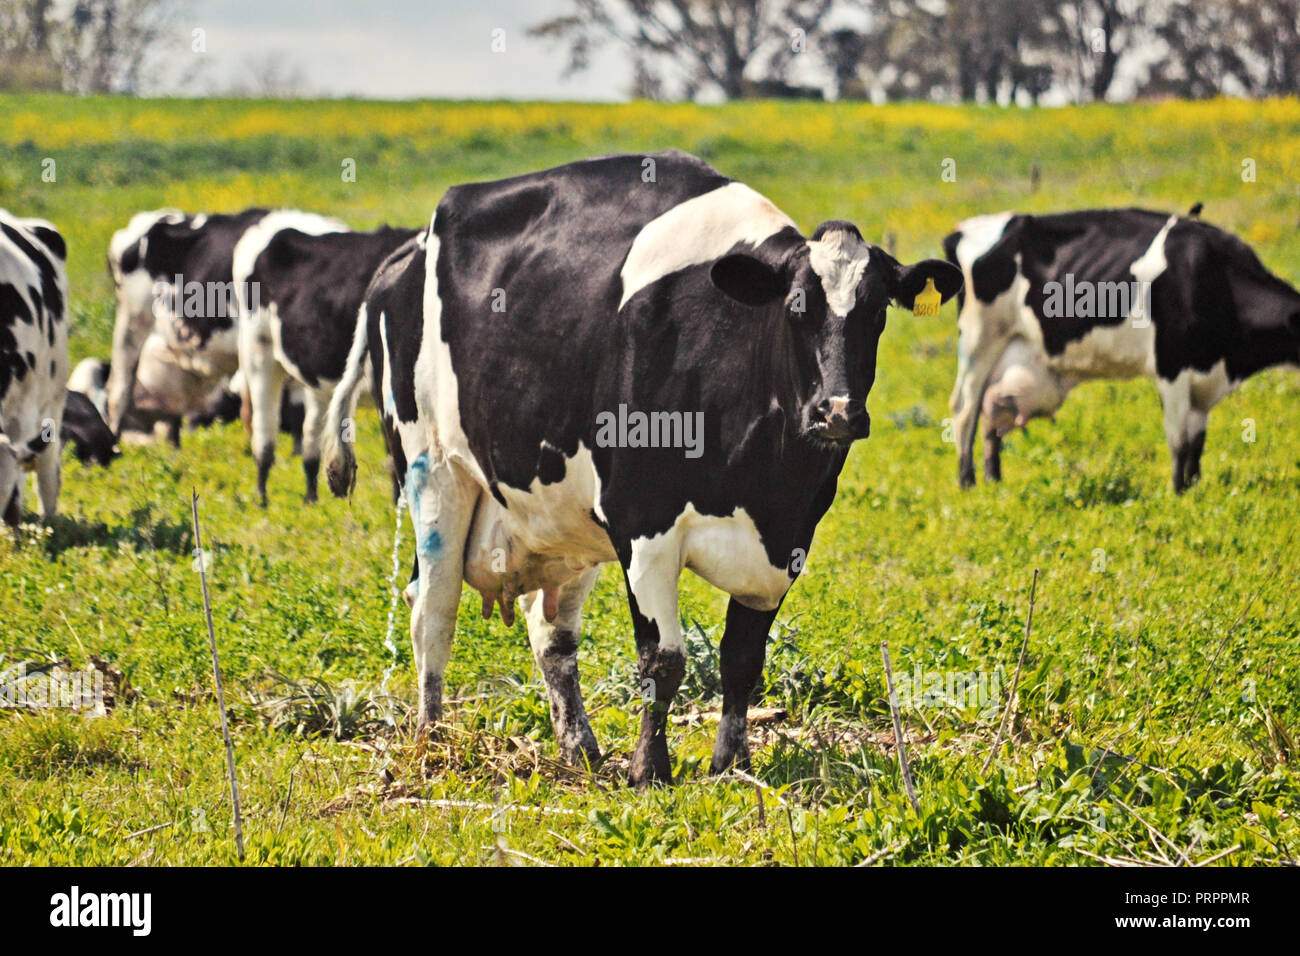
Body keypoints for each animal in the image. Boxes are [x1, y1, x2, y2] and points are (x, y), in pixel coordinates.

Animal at [233, 224, 420, 505]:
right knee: (264, 436)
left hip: (314, 380)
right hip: (259, 355)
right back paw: (261, 498)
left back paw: (311, 498)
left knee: (311, 437)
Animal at [321, 151, 961, 786]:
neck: (765, 484)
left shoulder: (787, 542)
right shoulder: (643, 520)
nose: (838, 411)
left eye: (878, 311)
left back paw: (579, 749)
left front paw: (731, 764)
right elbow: (664, 659)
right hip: (432, 469)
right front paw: (650, 770)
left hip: (560, 517)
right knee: (434, 608)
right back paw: (431, 741)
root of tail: (409, 249)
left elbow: (742, 660)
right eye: (795, 306)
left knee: (552, 636)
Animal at [944, 208, 1300, 492]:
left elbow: (1197, 442)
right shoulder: (1171, 367)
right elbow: (1178, 440)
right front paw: (1178, 493)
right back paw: (967, 483)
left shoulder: (1204, 377)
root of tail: (964, 229)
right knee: (966, 410)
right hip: (979, 340)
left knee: (993, 413)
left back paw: (994, 480)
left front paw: (1195, 487)